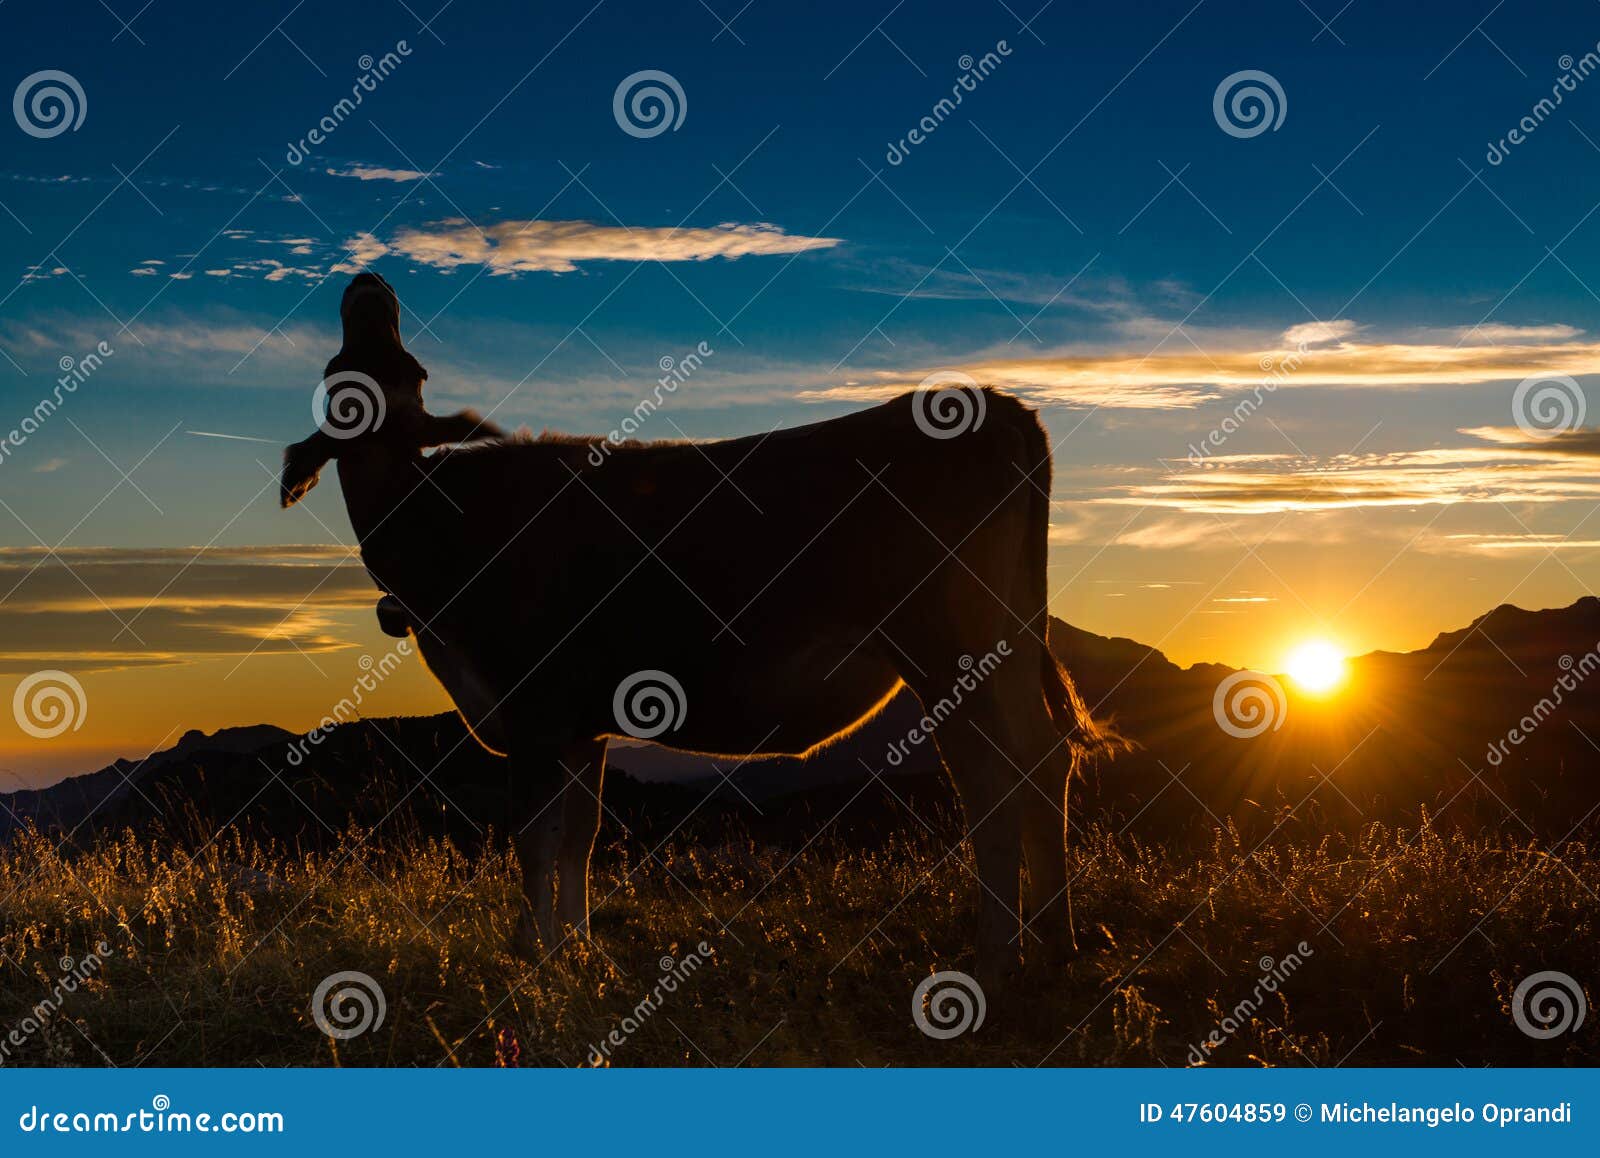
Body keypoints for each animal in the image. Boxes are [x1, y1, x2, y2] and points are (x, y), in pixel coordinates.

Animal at [281, 272, 1105, 985]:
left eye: (413, 371)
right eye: (336, 374)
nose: (370, 283)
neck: (436, 530)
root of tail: (996, 404)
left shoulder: (534, 706)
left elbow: (534, 839)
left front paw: (533, 955)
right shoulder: (582, 720)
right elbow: (580, 836)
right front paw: (577, 950)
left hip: (946, 645)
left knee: (991, 778)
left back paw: (998, 955)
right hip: (1004, 639)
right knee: (1041, 759)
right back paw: (1056, 943)